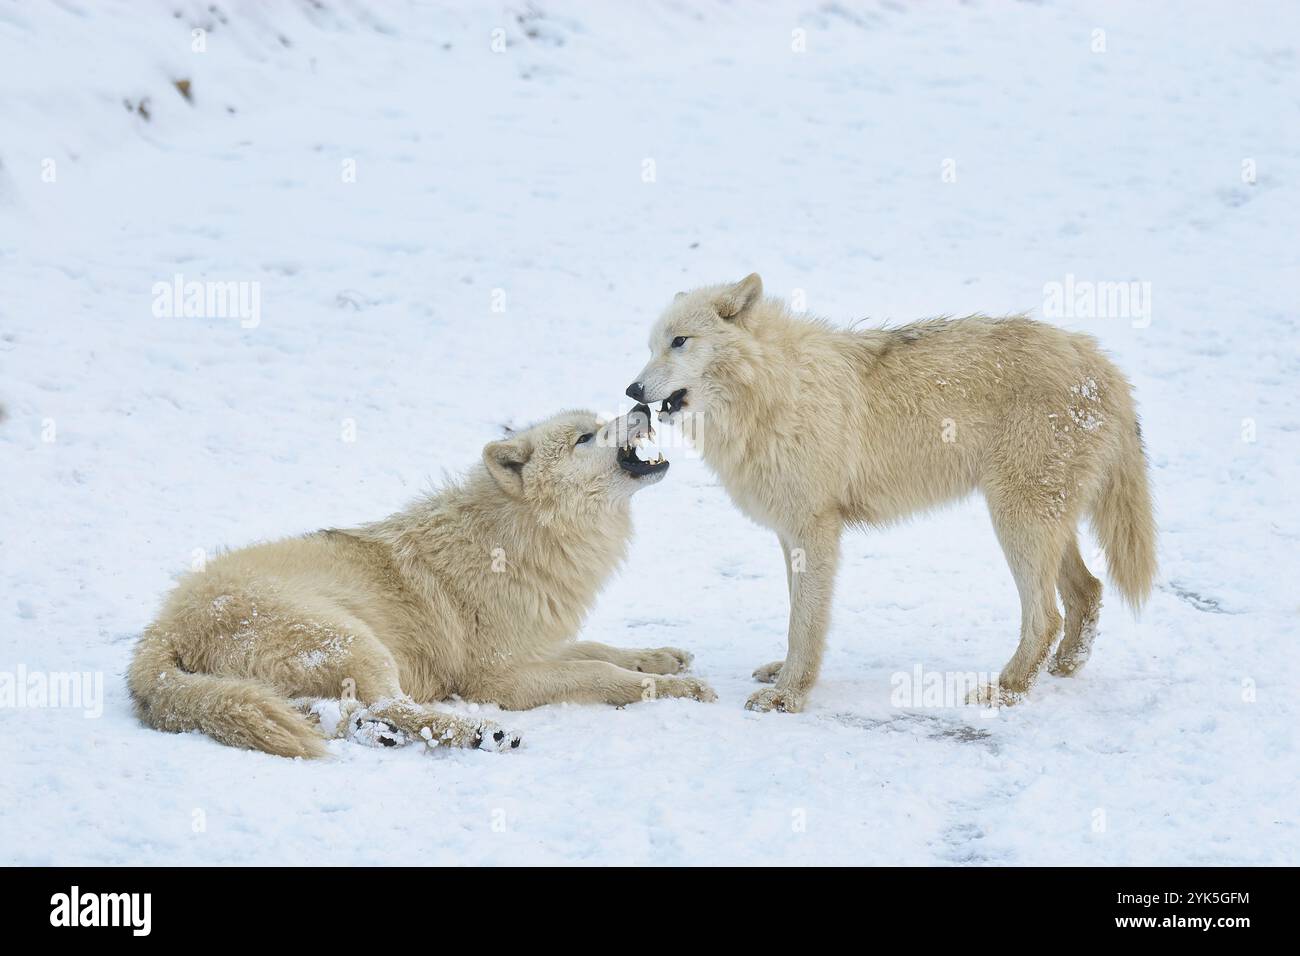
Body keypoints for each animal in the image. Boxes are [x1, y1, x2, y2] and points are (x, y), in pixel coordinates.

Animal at [128, 407, 714, 758]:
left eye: (598, 420)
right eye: (585, 437)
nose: (641, 407)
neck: (520, 539)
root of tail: (159, 632)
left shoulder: (541, 643)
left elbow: (604, 649)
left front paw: (662, 658)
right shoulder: (500, 679)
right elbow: (601, 672)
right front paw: (679, 690)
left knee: (348, 716)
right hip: (355, 640)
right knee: (386, 707)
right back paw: (480, 733)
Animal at [627, 274, 1156, 711]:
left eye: (679, 342)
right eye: (651, 347)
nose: (633, 391)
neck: (777, 390)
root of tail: (1101, 362)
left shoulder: (815, 528)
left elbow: (805, 621)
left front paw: (787, 696)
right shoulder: (789, 533)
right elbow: (798, 613)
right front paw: (784, 677)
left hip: (1016, 519)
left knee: (1045, 615)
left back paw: (1006, 690)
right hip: (1042, 521)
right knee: (1088, 590)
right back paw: (1062, 669)